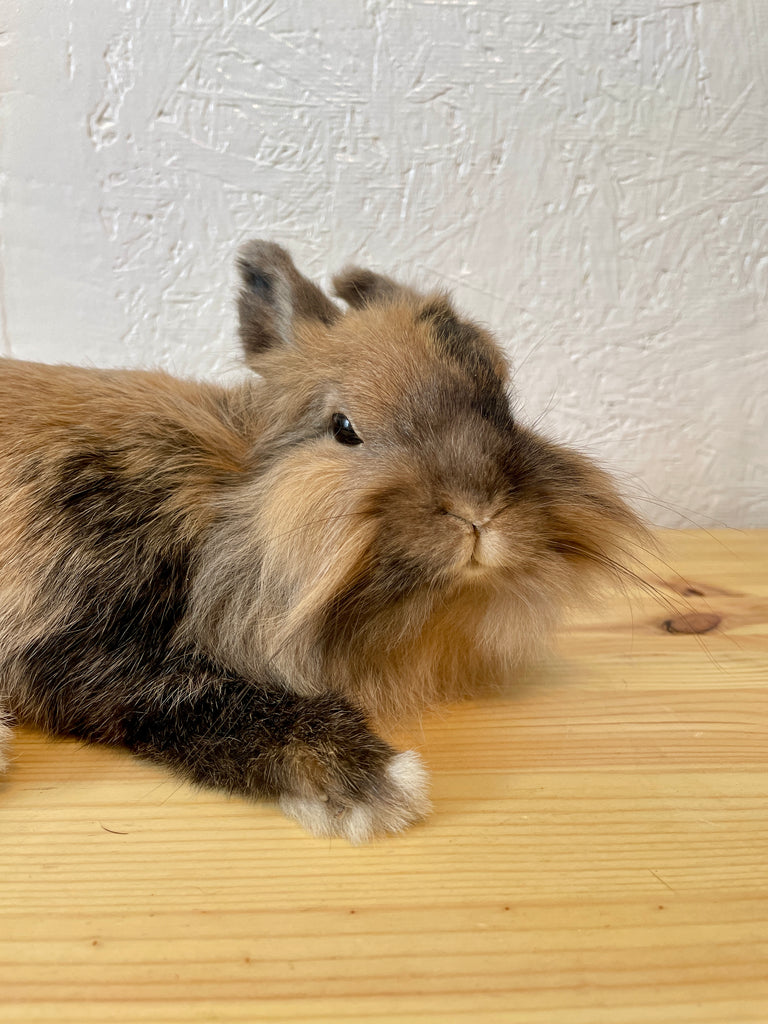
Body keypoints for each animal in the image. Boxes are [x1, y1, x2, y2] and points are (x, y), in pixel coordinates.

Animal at [0, 240, 644, 842]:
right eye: (344, 428)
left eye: (503, 406)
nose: (479, 510)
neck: (224, 499)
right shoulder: (88, 647)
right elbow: (204, 698)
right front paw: (377, 788)